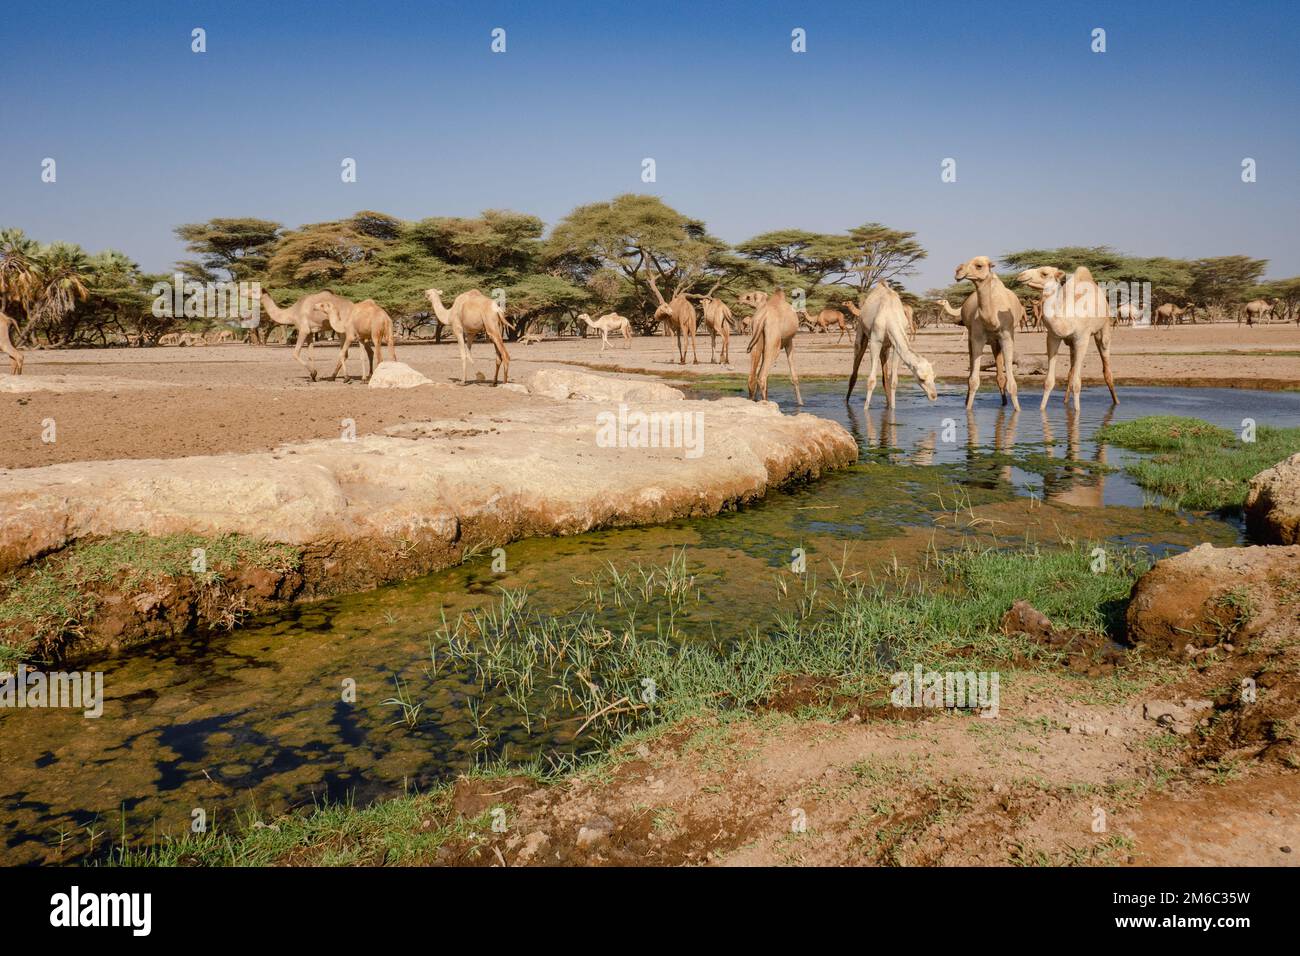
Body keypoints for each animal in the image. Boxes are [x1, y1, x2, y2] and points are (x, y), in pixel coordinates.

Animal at [948, 255, 1025, 411]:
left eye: (979, 265)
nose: (958, 271)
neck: (993, 319)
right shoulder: (977, 338)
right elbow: (973, 381)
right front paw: (968, 409)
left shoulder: (1007, 337)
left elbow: (1012, 384)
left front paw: (1018, 410)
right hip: (972, 338)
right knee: (971, 372)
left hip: (996, 342)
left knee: (1000, 376)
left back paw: (1004, 402)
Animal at [1015, 266, 1118, 410]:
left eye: (1044, 273)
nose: (1021, 275)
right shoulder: (1053, 337)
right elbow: (1049, 381)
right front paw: (1042, 409)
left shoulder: (1082, 338)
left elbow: (1077, 383)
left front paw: (1077, 411)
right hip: (1071, 343)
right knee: (1070, 372)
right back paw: (1065, 401)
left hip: (1103, 328)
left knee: (1106, 366)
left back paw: (1116, 402)